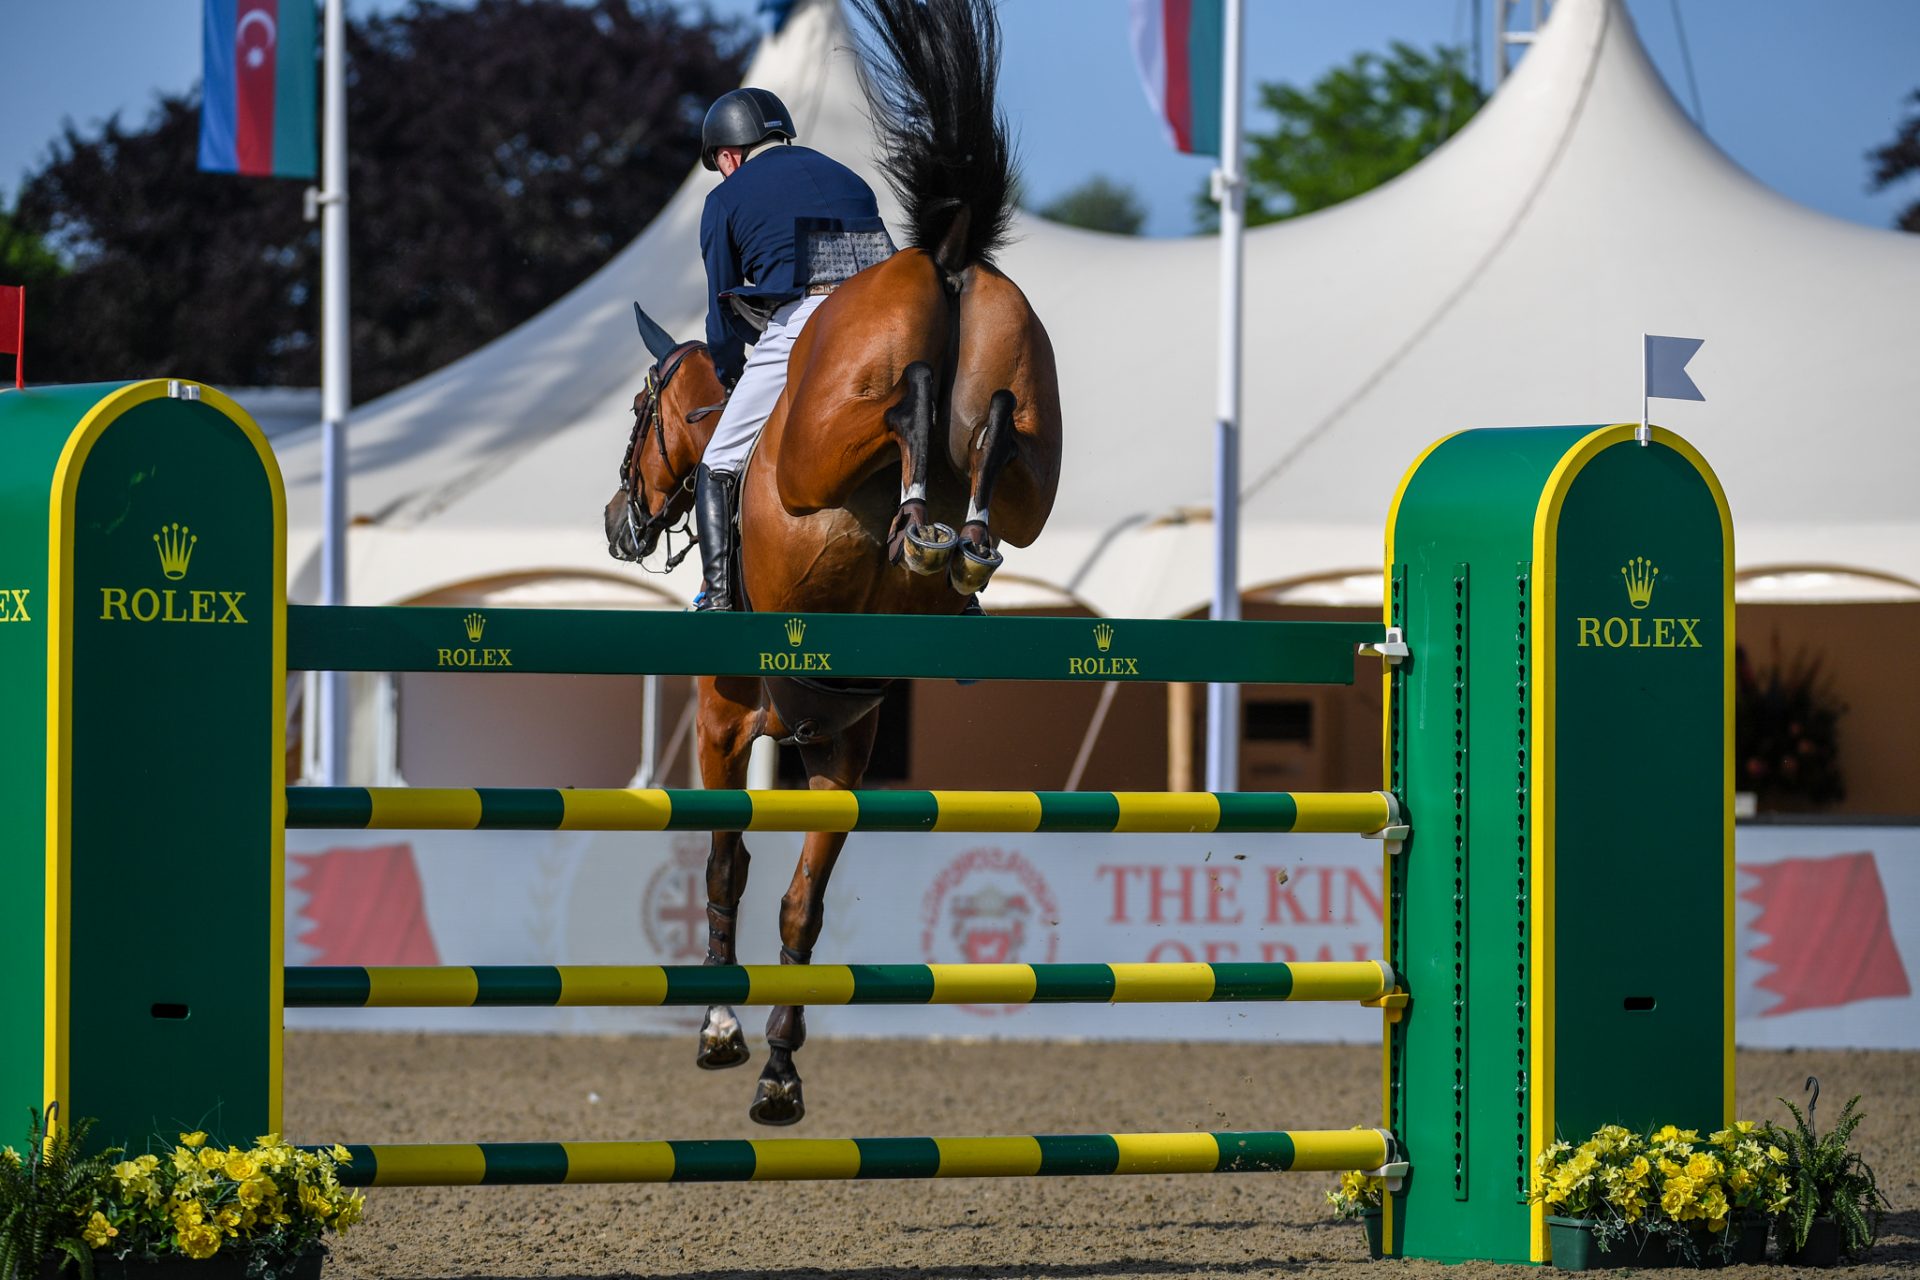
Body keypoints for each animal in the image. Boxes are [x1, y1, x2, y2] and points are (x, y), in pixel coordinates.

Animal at [602, 0, 1062, 1125]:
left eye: (638, 413)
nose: (620, 524)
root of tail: (943, 256)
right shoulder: (842, 745)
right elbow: (802, 903)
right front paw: (777, 1065)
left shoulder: (725, 722)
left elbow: (727, 866)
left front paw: (727, 1036)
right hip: (1030, 435)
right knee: (995, 428)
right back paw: (957, 539)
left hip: (821, 446)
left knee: (908, 405)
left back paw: (924, 520)